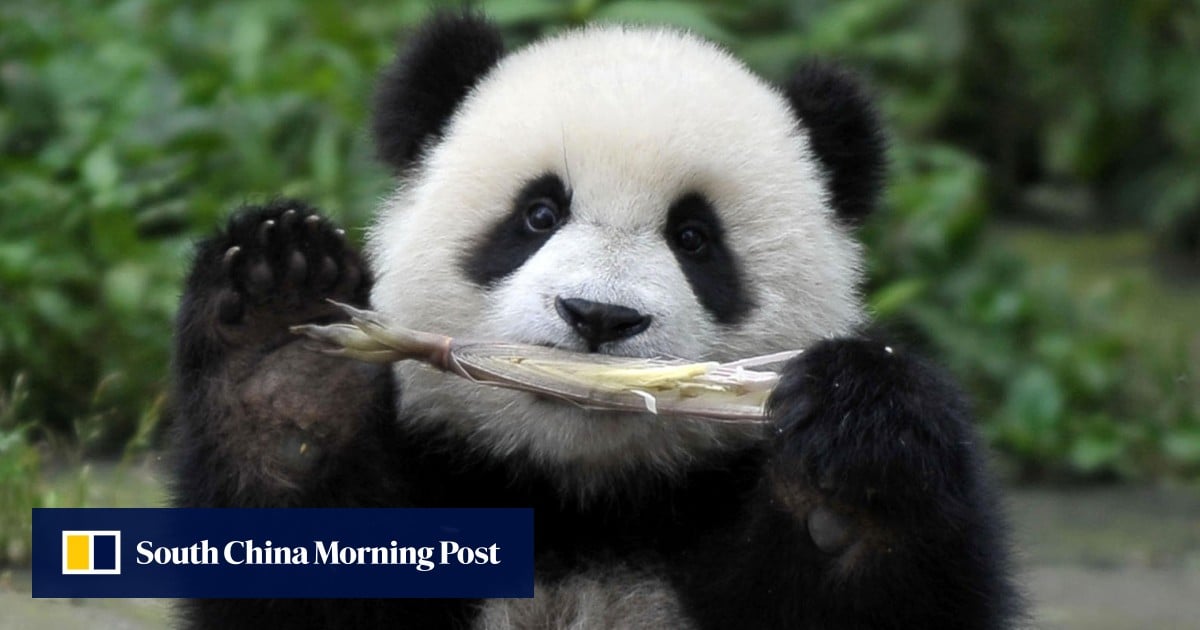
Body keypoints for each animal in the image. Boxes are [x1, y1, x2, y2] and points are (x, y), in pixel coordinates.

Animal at [172, 12, 1018, 630]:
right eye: (539, 214)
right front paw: (286, 355)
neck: (584, 500)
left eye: (694, 237)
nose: (600, 317)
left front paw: (843, 478)